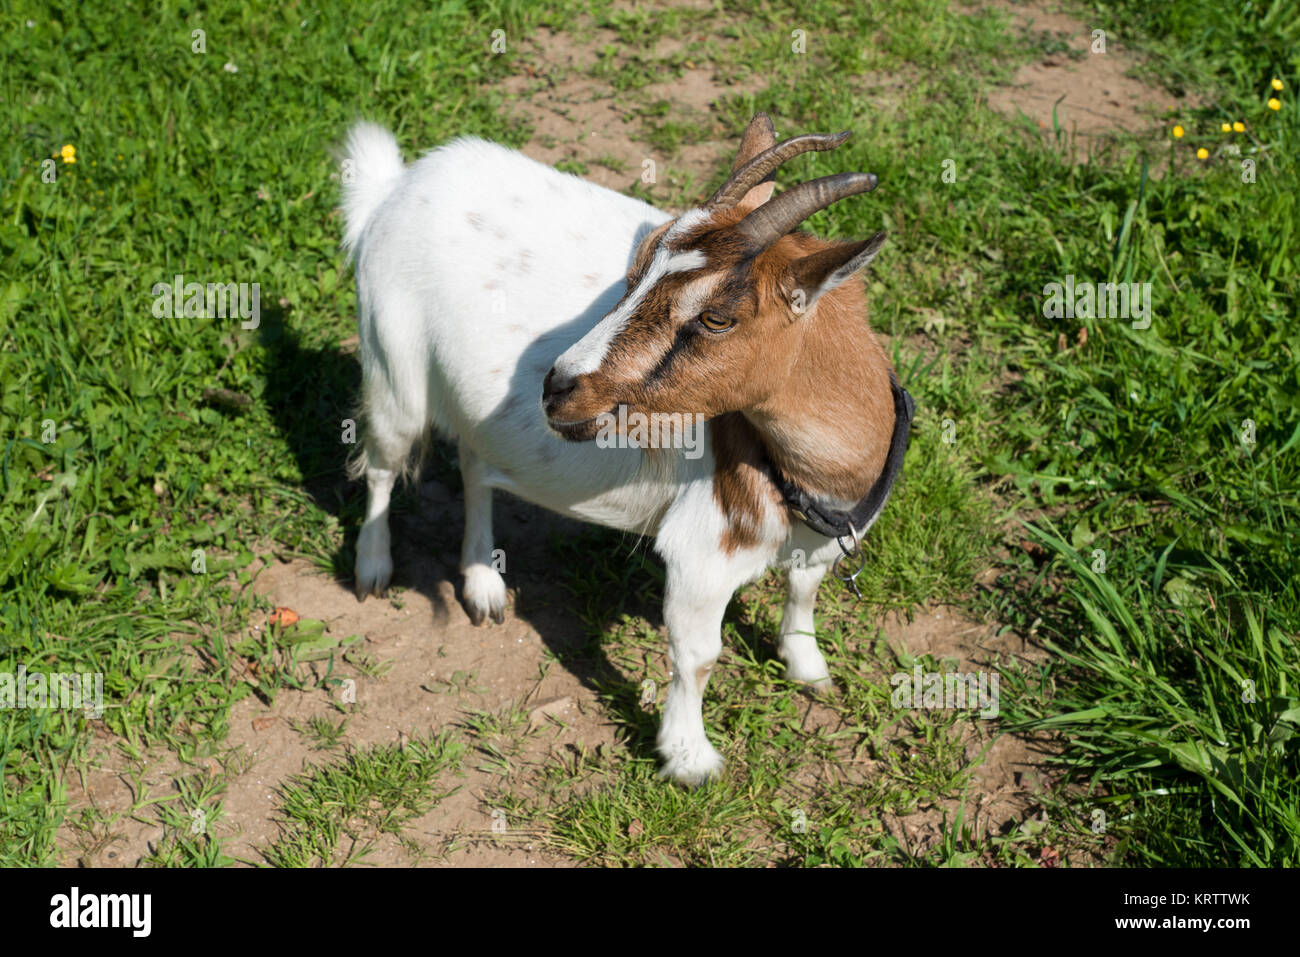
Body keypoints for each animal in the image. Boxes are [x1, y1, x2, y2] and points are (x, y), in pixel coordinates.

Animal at [341, 112, 912, 786]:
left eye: (717, 317)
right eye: (635, 272)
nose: (558, 386)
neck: (824, 478)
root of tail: (398, 187)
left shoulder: (827, 538)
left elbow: (805, 590)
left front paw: (807, 670)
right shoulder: (701, 555)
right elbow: (699, 655)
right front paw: (690, 760)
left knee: (477, 463)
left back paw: (483, 584)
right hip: (392, 368)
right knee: (383, 463)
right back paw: (374, 568)